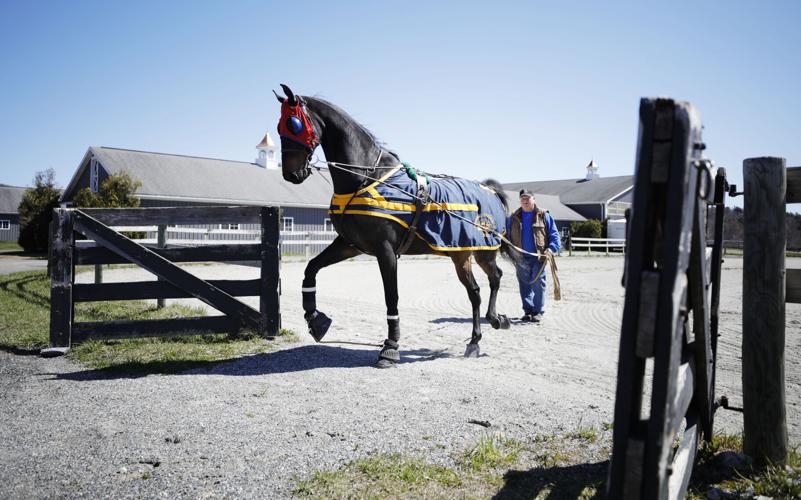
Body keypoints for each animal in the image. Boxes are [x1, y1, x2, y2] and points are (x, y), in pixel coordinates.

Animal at [274, 84, 511, 368]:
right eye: (279, 127)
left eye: (293, 124)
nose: (291, 174)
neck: (367, 177)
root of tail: (489, 189)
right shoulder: (349, 245)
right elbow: (311, 268)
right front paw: (315, 320)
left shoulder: (385, 251)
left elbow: (391, 297)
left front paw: (390, 347)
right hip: (460, 254)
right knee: (477, 290)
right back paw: (481, 334)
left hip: (480, 252)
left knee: (492, 280)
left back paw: (488, 325)